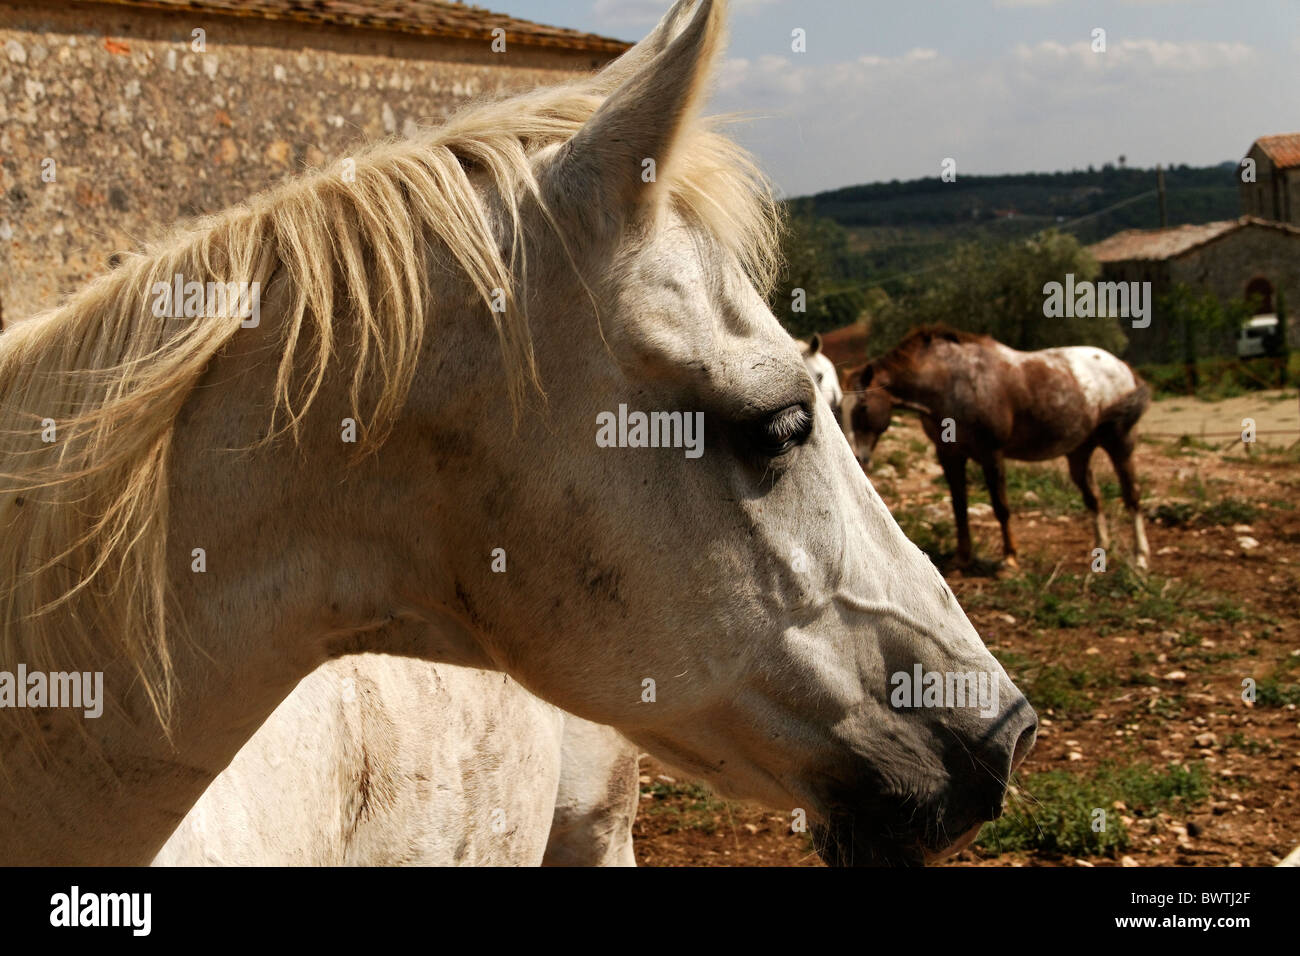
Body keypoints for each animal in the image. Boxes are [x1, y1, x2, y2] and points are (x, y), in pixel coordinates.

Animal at [848, 325, 1151, 571]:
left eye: (862, 407)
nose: (859, 457)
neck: (950, 382)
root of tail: (1123, 367)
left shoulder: (991, 454)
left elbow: (1000, 506)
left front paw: (1010, 556)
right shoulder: (949, 455)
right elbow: (959, 506)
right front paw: (963, 557)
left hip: (1120, 445)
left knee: (1132, 497)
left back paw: (1140, 557)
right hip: (1079, 452)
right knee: (1094, 498)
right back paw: (1102, 547)